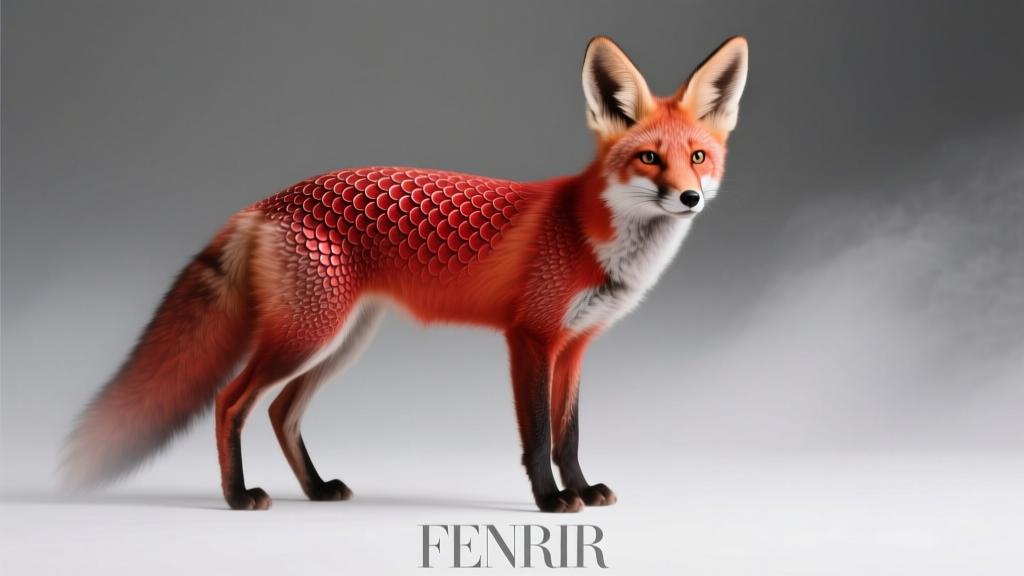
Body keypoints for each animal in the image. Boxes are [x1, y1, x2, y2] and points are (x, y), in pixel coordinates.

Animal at [63, 36, 748, 512]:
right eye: (649, 158)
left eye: (698, 157)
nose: (689, 197)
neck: (592, 236)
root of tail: (265, 201)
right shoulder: (529, 338)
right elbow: (537, 438)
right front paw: (551, 501)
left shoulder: (575, 346)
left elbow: (569, 436)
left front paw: (579, 489)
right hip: (307, 336)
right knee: (231, 402)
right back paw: (237, 497)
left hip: (339, 341)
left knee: (281, 411)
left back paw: (316, 489)